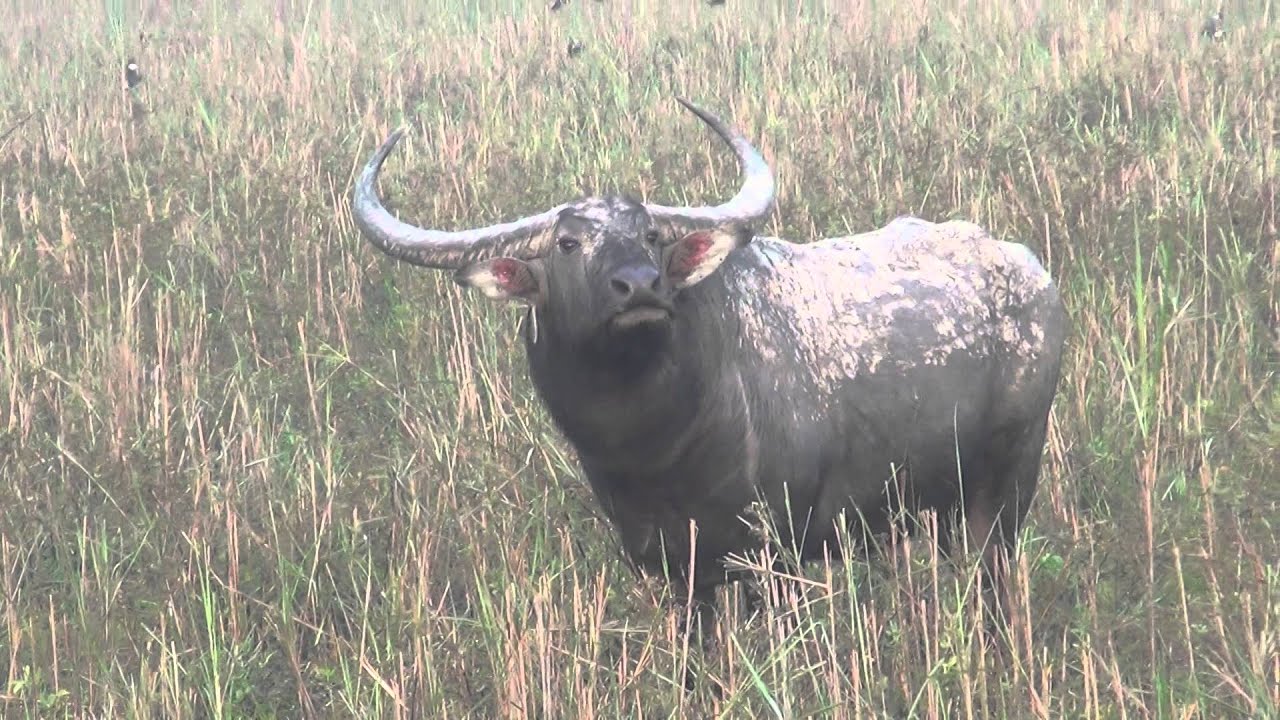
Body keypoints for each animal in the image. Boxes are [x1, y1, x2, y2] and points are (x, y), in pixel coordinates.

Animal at [352, 99, 1067, 621]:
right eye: (566, 243)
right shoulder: (671, 566)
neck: (654, 445)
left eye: (649, 234)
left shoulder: (771, 556)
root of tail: (1029, 271)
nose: (640, 287)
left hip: (1005, 495)